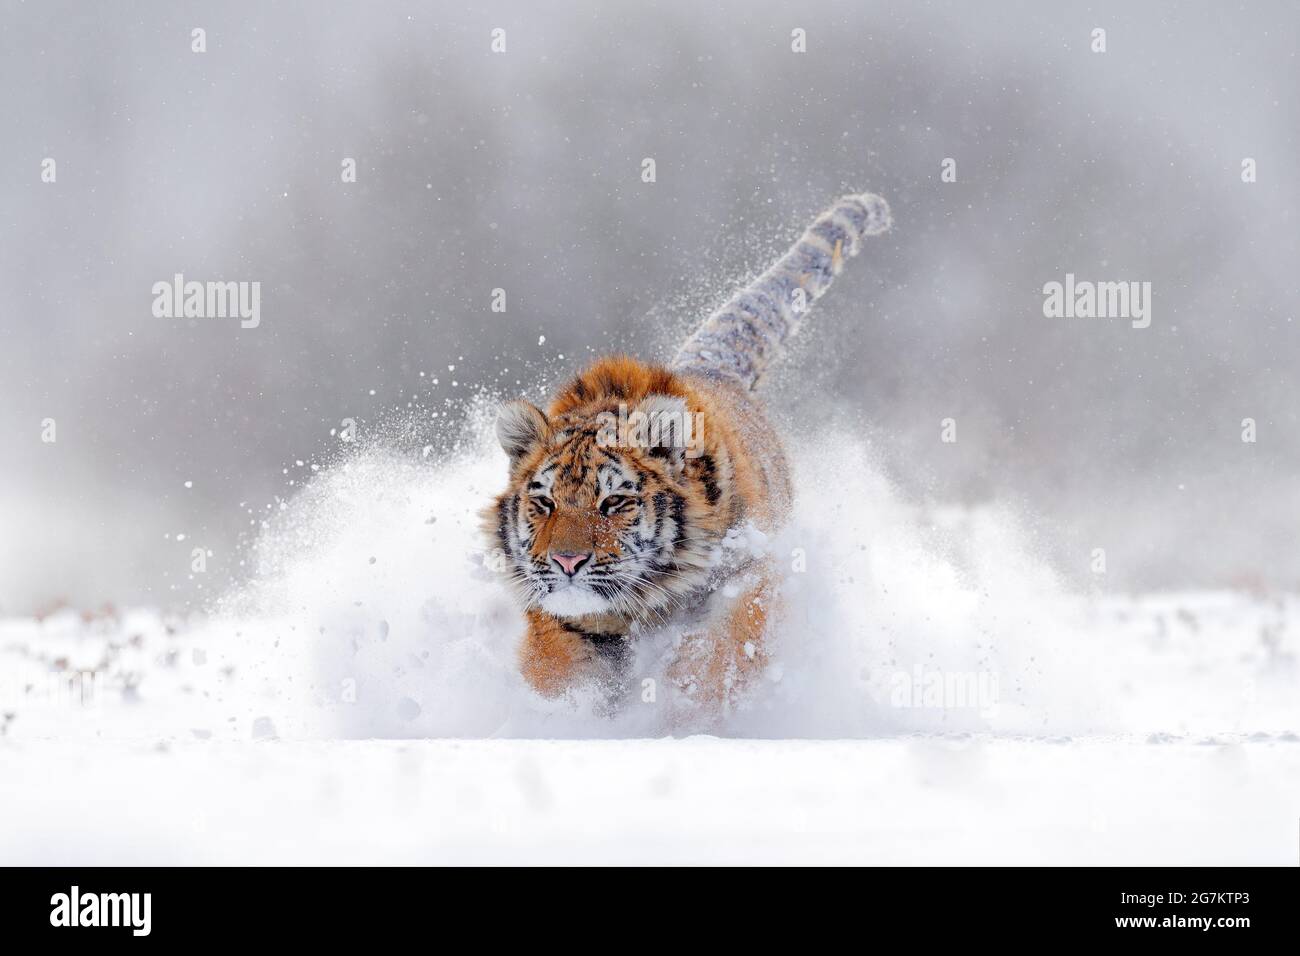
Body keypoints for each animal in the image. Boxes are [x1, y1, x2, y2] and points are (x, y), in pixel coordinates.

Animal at [483, 193, 891, 714]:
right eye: (544, 503)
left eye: (613, 502)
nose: (567, 563)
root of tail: (712, 368)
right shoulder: (563, 618)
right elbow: (560, 672)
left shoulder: (753, 576)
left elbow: (721, 651)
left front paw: (685, 705)